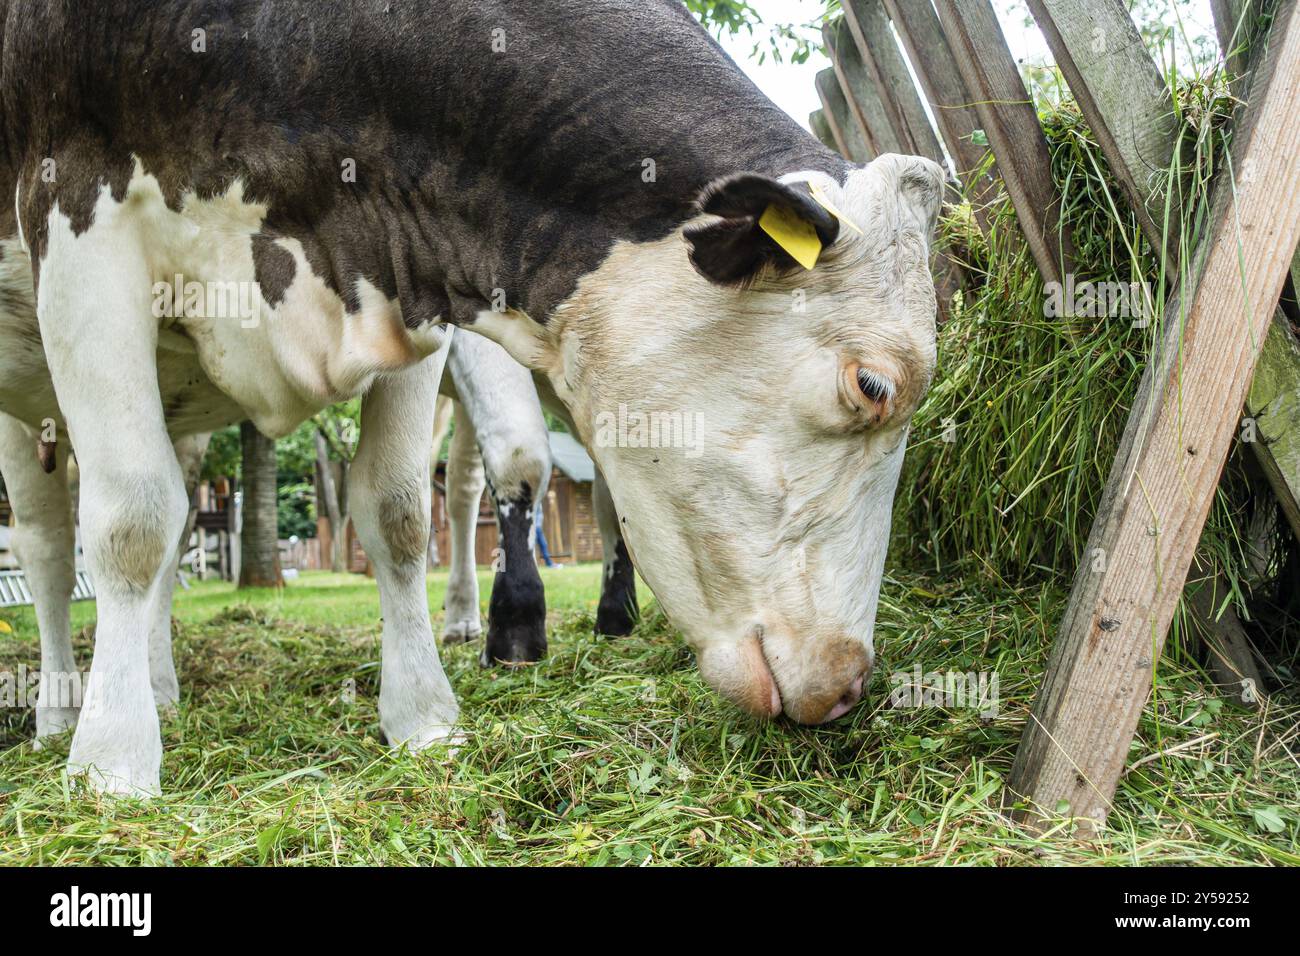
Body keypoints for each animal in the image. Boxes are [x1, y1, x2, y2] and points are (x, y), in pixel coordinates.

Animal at [0, 0, 942, 795]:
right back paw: (59, 709)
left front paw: (423, 719)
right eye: (872, 385)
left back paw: (159, 683)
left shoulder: (397, 287)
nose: (848, 682)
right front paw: (112, 763)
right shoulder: (78, 226)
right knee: (50, 546)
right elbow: (128, 526)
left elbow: (397, 513)